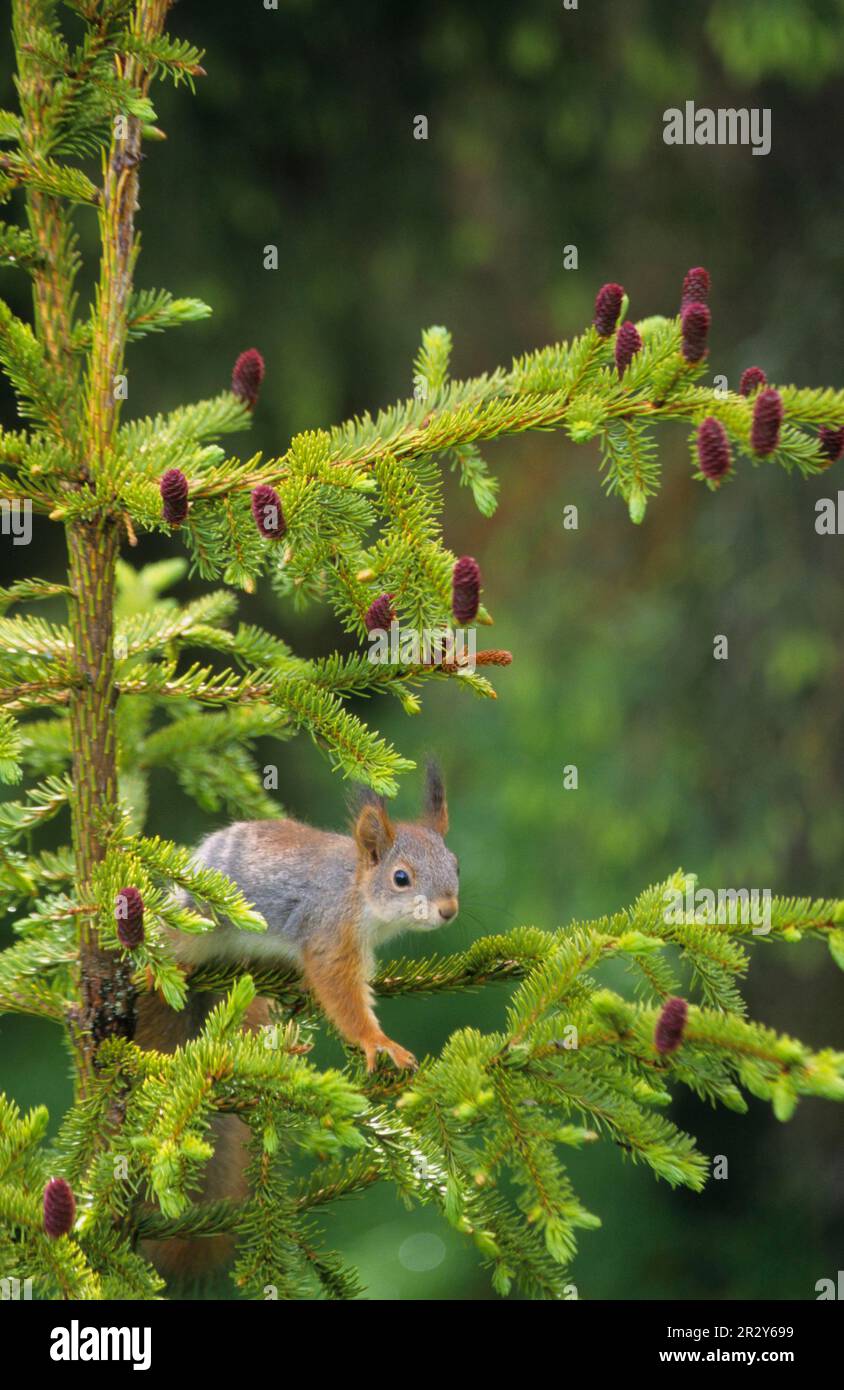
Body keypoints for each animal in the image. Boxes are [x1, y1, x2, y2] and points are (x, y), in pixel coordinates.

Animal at [135, 762, 459, 1279]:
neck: (357, 888)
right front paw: (376, 1041)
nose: (449, 910)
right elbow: (341, 991)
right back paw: (152, 967)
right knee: (171, 943)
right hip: (195, 923)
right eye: (401, 878)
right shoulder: (330, 931)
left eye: (456, 865)